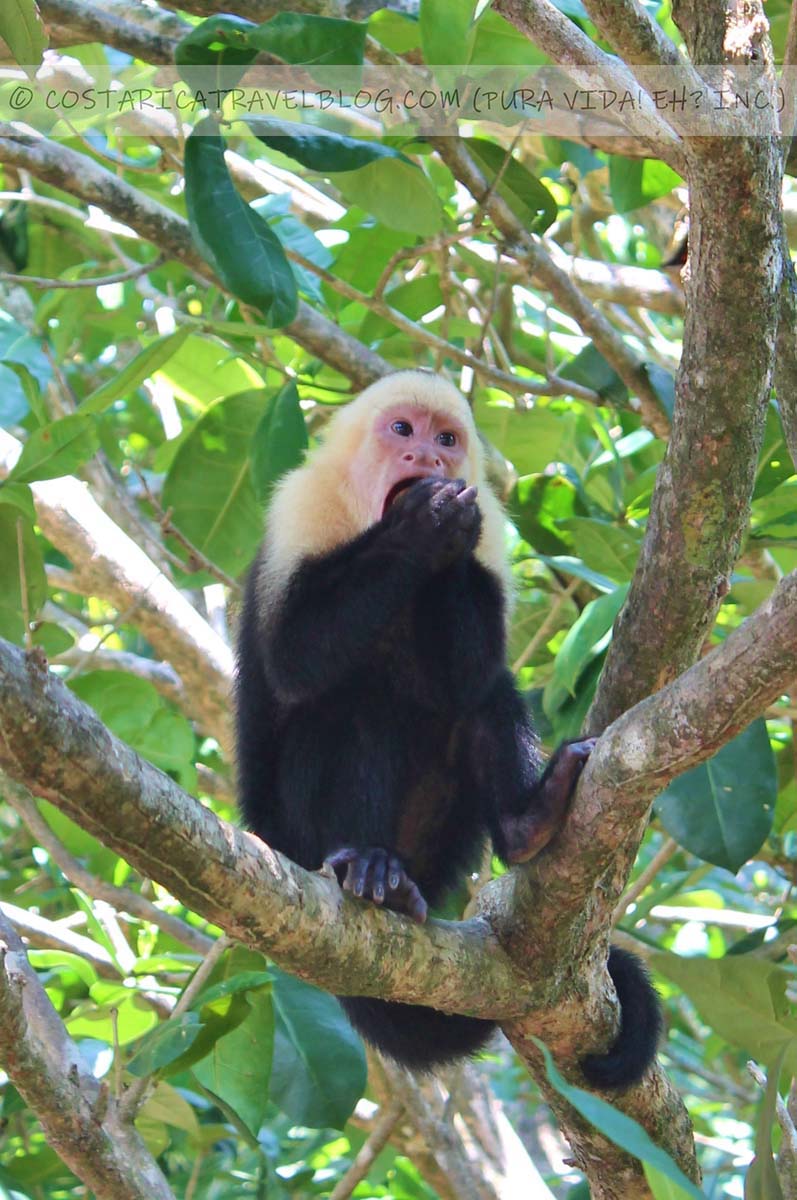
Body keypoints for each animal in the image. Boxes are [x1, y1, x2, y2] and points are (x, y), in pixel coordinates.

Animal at [235, 369, 662, 1084]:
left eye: (447, 439)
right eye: (402, 430)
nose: (426, 459)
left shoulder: (494, 539)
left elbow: (470, 671)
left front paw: (450, 536)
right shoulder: (301, 506)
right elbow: (293, 655)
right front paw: (424, 527)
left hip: (439, 836)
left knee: (478, 698)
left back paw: (527, 822)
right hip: (290, 835)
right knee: (353, 709)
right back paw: (364, 862)